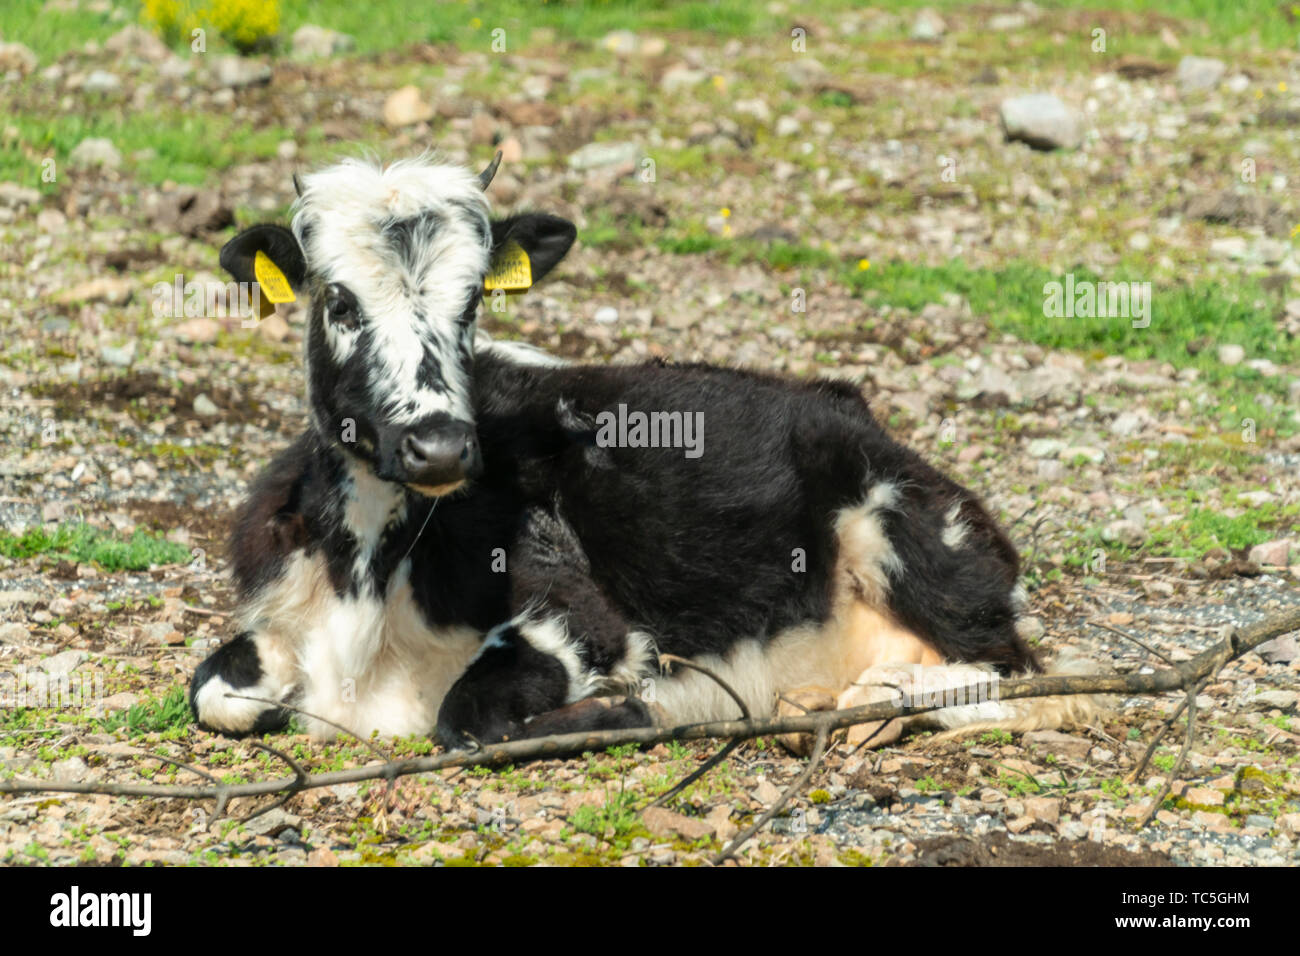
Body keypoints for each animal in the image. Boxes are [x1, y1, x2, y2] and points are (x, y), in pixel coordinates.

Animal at [189, 152, 1100, 750]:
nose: (441, 445)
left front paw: (651, 703)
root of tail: (842, 404)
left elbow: (473, 721)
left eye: (474, 300)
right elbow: (213, 689)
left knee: (1024, 676)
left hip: (912, 535)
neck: (367, 595)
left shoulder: (585, 618)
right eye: (339, 301)